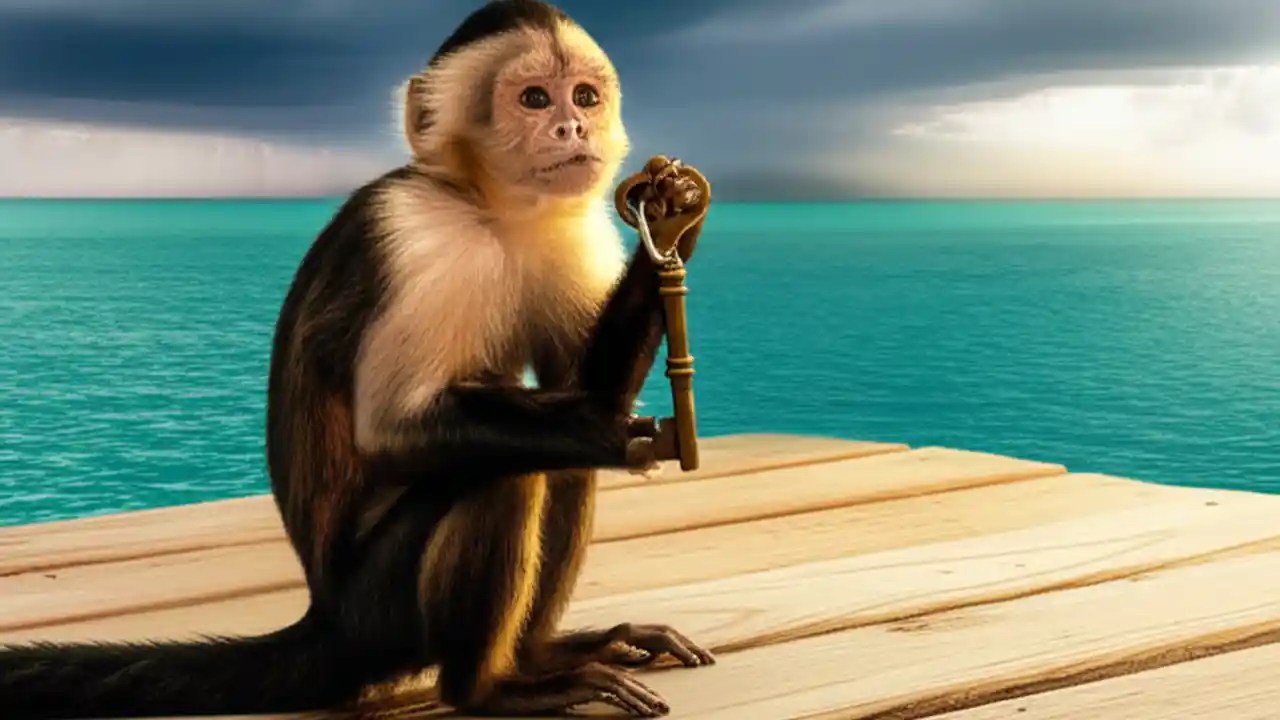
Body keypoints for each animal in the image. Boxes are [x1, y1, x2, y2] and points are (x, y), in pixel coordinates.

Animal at [0, 1, 715, 718]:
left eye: (585, 96)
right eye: (535, 98)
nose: (572, 125)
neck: (484, 204)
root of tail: (327, 622)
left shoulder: (566, 229)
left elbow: (584, 384)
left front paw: (670, 219)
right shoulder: (410, 232)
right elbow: (394, 430)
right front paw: (604, 429)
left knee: (554, 464)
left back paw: (539, 656)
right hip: (378, 610)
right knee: (504, 472)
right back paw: (488, 687)